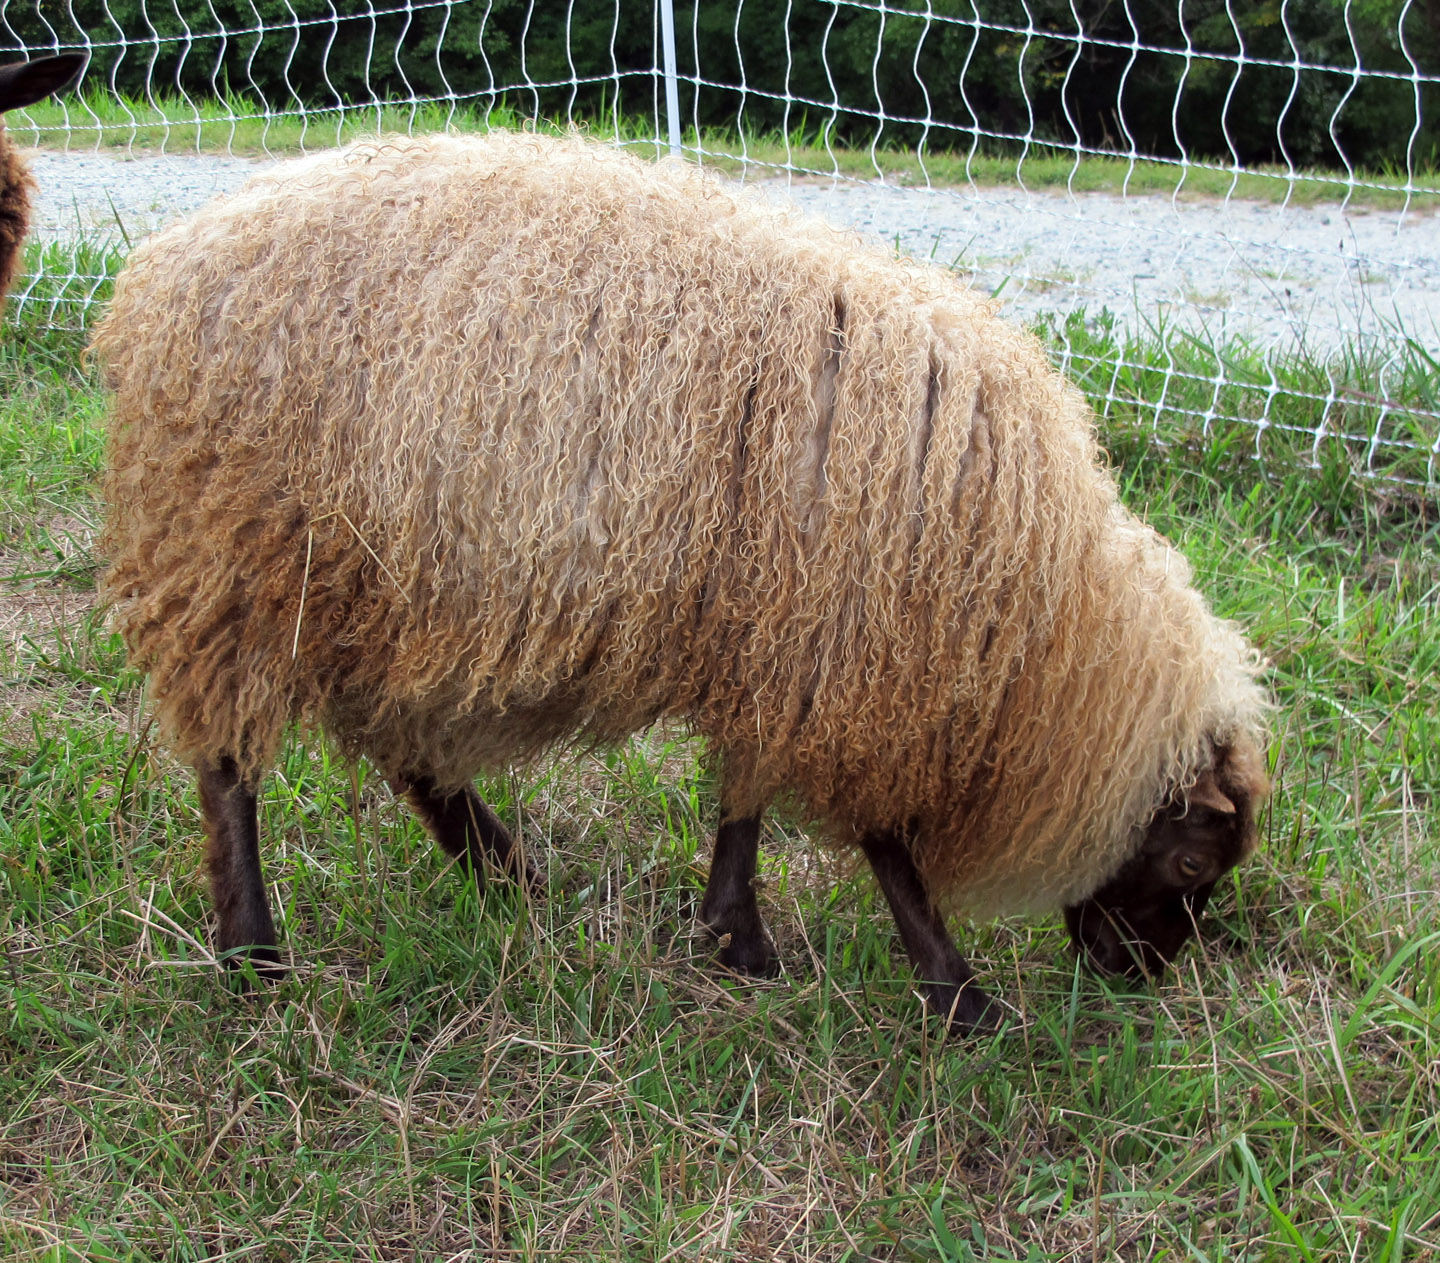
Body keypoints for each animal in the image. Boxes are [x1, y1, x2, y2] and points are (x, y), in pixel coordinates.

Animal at [94, 132, 1270, 1031]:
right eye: (1192, 866)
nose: (1134, 978)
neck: (1039, 626)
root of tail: (164, 267)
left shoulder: (777, 647)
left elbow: (744, 799)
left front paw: (734, 937)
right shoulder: (846, 653)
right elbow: (884, 843)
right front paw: (957, 995)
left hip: (382, 587)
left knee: (400, 748)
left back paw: (505, 873)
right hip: (238, 564)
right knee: (231, 766)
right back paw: (253, 949)